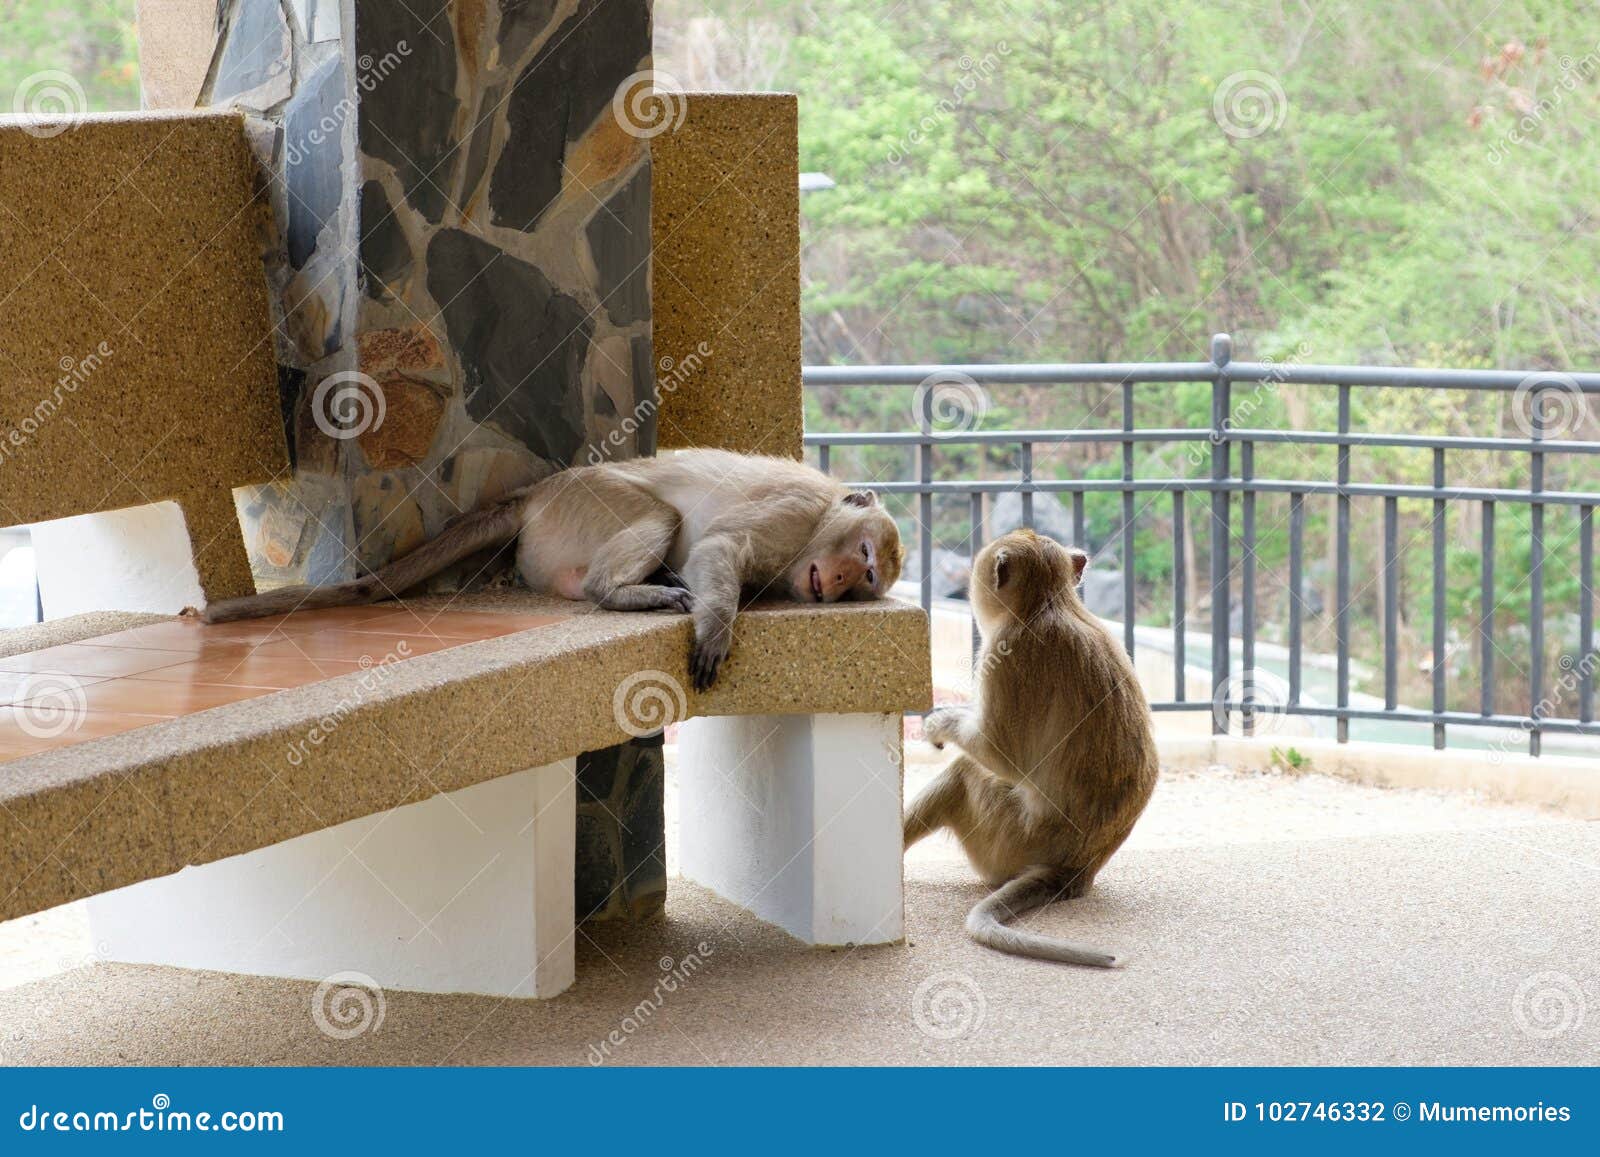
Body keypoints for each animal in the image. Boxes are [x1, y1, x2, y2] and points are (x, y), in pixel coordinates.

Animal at [197, 449, 905, 690]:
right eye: (866, 557)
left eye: (867, 579)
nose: (841, 582)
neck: (821, 520)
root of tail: (538, 493)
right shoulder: (791, 515)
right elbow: (718, 552)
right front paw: (716, 630)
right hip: (589, 502)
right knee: (659, 517)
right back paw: (622, 593)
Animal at [903, 529, 1158, 967]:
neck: (1051, 603)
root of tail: (1076, 871)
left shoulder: (1006, 651)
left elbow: (1000, 753)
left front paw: (939, 722)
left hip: (1007, 840)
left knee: (964, 775)